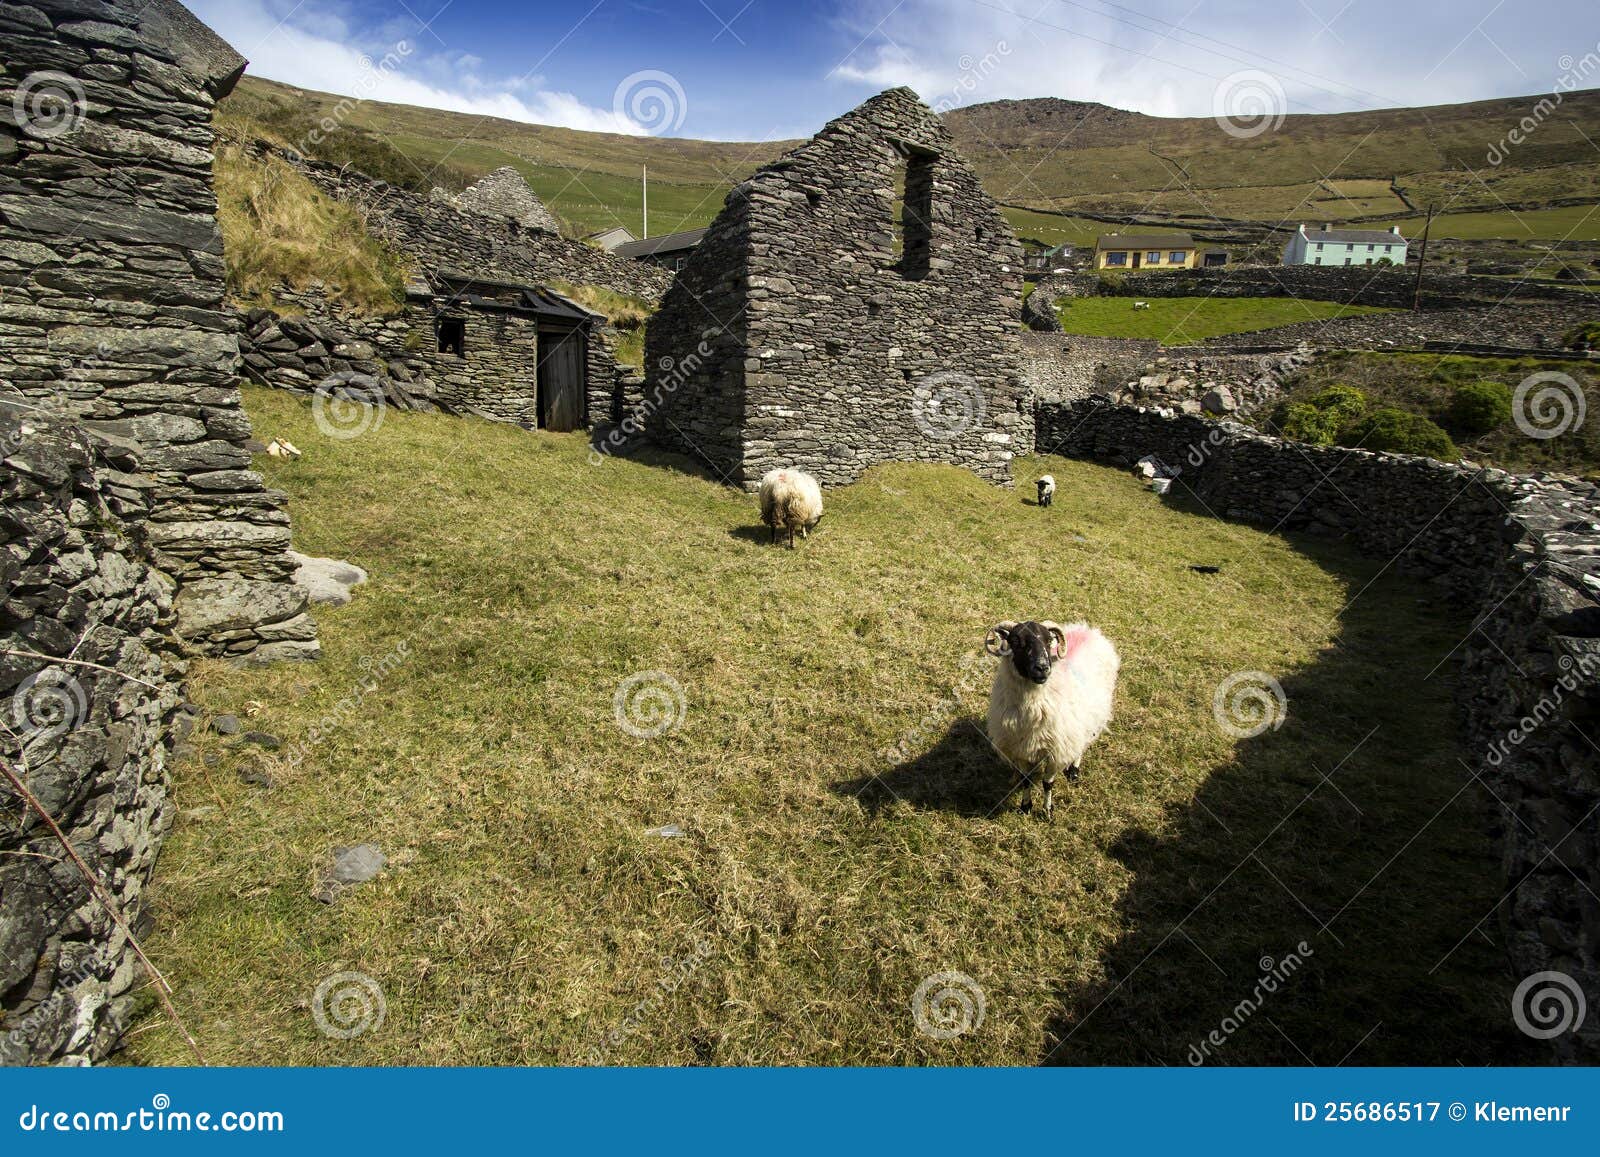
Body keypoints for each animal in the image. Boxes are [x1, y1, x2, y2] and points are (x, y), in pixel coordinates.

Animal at [984, 619, 1120, 819]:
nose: (1042, 668)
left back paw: (1074, 771)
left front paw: (1047, 811)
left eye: (1049, 641)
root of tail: (1087, 630)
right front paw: (1026, 807)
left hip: (1085, 721)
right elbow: (1026, 780)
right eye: (1015, 641)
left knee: (1081, 743)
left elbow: (1048, 784)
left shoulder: (1056, 751)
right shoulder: (1020, 749)